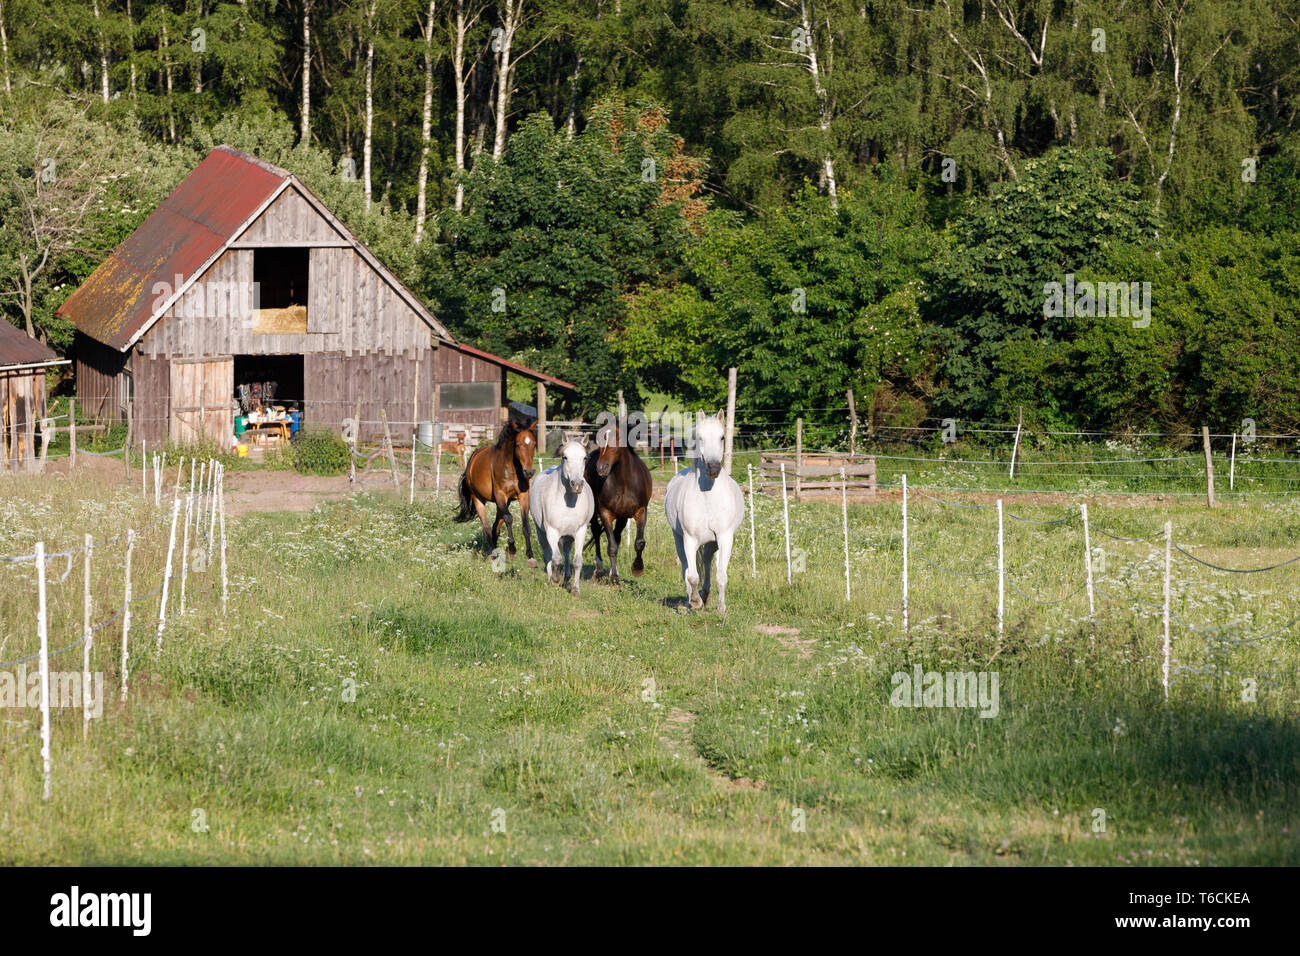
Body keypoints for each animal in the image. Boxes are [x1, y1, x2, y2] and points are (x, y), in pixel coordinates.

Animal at [453, 416, 538, 566]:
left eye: (533, 444)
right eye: (518, 445)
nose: (529, 472)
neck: (512, 469)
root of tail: (472, 460)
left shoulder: (523, 496)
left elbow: (526, 523)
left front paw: (530, 556)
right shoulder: (500, 495)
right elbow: (509, 518)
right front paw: (512, 549)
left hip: (504, 503)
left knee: (495, 527)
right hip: (479, 500)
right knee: (487, 528)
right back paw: (494, 554)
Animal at [529, 439, 595, 595]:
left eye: (585, 458)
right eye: (565, 457)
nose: (577, 484)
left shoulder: (580, 531)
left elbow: (577, 561)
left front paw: (576, 589)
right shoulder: (551, 531)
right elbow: (556, 558)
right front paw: (555, 579)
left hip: (568, 535)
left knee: (566, 551)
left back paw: (567, 580)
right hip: (541, 532)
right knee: (548, 554)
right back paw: (551, 579)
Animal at [586, 416, 653, 584]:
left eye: (618, 438)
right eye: (600, 438)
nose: (601, 468)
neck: (624, 483)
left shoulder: (641, 511)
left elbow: (639, 542)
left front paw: (637, 568)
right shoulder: (605, 513)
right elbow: (612, 547)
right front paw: (615, 577)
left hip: (622, 517)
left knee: (617, 536)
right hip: (594, 513)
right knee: (596, 532)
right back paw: (599, 570)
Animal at [663, 411, 744, 612]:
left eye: (722, 437)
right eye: (700, 437)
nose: (713, 467)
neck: (708, 497)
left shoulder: (724, 537)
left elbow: (721, 574)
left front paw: (721, 608)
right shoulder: (690, 539)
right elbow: (692, 576)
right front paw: (695, 601)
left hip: (711, 543)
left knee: (707, 563)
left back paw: (706, 594)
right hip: (679, 539)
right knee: (686, 568)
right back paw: (690, 602)